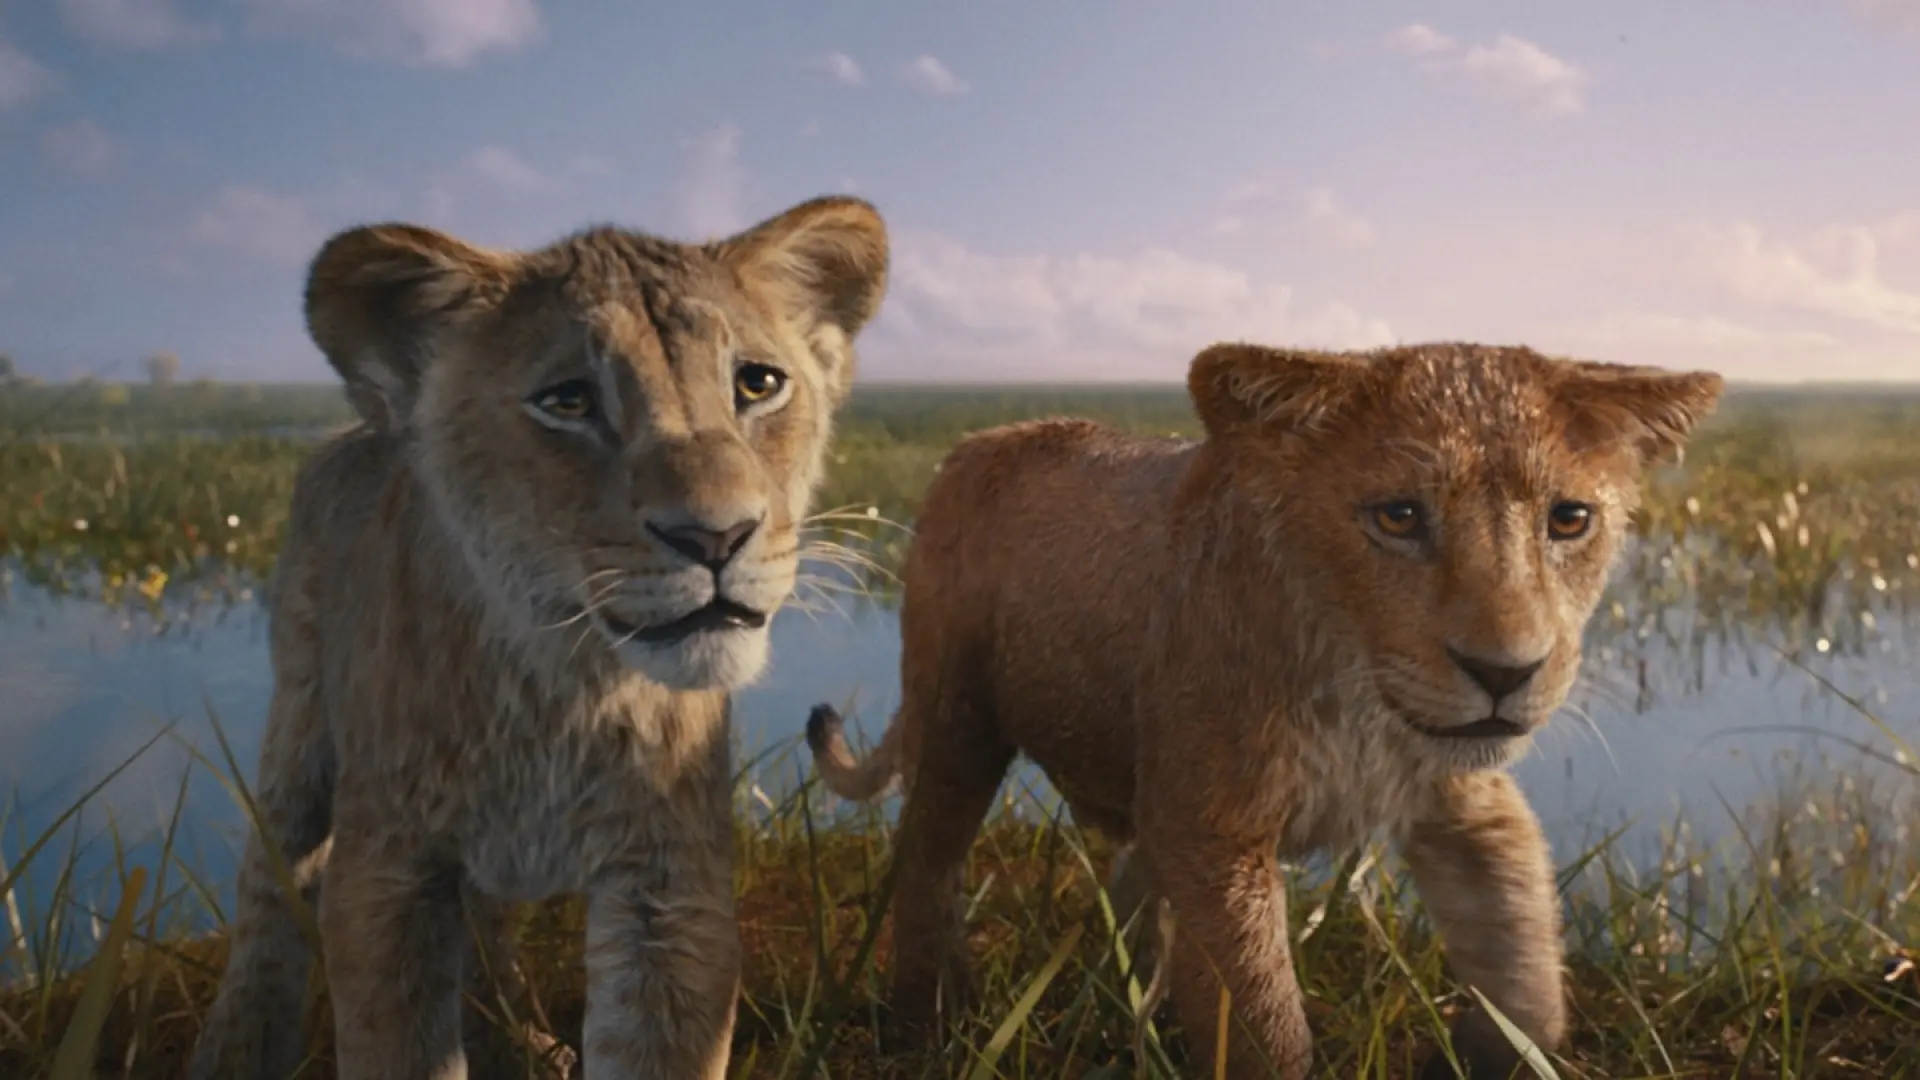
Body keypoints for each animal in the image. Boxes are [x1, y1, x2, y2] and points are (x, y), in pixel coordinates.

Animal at [187, 195, 889, 1080]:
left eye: (757, 384)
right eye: (569, 401)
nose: (718, 537)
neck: (563, 684)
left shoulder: (669, 887)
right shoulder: (389, 875)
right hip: (299, 721)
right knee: (270, 879)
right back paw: (236, 1046)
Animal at [806, 341, 1723, 1079]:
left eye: (1569, 520)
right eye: (1399, 516)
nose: (1506, 671)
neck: (1360, 698)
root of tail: (981, 440)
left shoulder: (1464, 802)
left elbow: (1525, 961)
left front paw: (1490, 1050)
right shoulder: (1215, 828)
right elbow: (1265, 1023)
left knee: (1133, 887)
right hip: (957, 714)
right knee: (928, 858)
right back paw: (928, 1020)